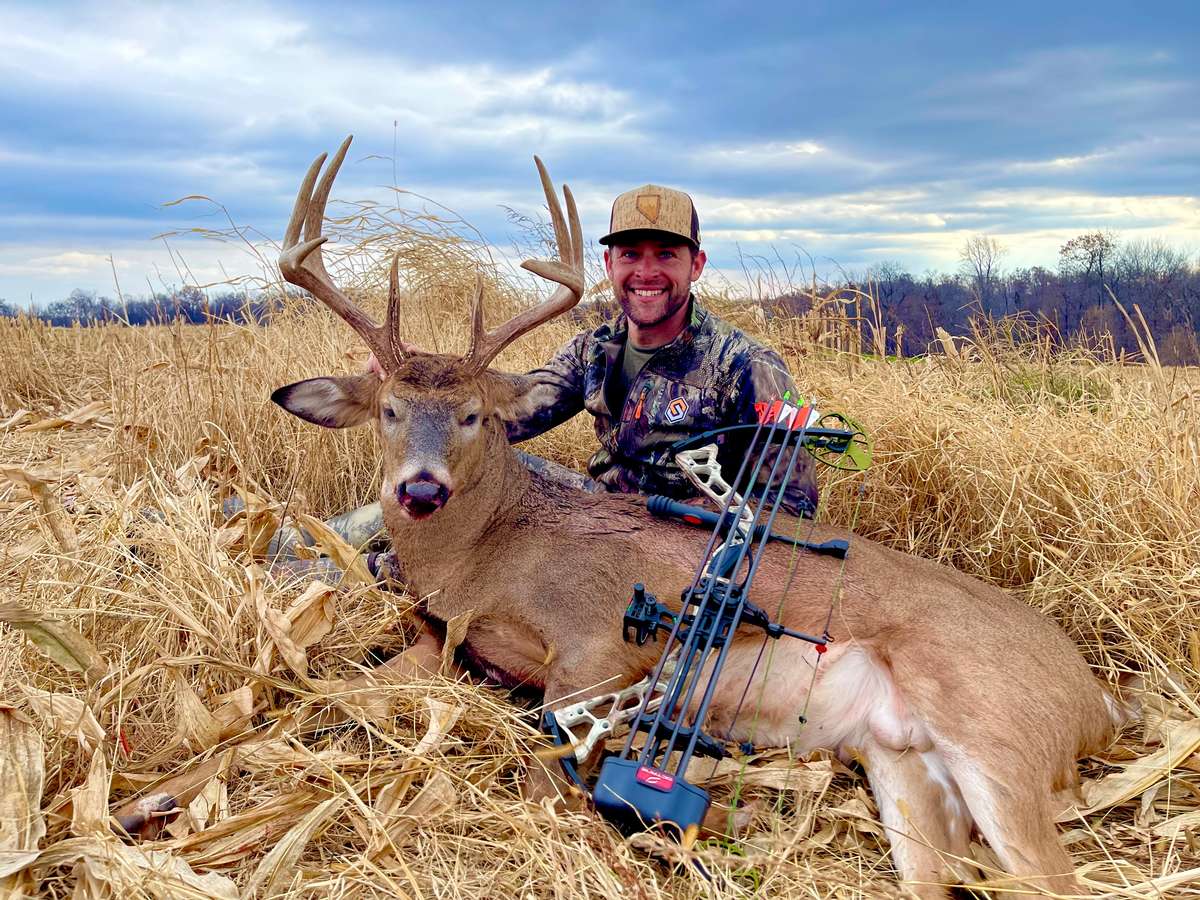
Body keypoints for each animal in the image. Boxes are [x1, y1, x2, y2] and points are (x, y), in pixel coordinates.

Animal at [271, 136, 1126, 898]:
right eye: (388, 409)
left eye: (474, 415)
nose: (420, 490)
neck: (489, 555)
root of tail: (1097, 700)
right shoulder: (445, 644)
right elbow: (335, 686)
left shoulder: (595, 647)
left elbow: (544, 778)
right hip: (904, 761)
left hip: (995, 734)